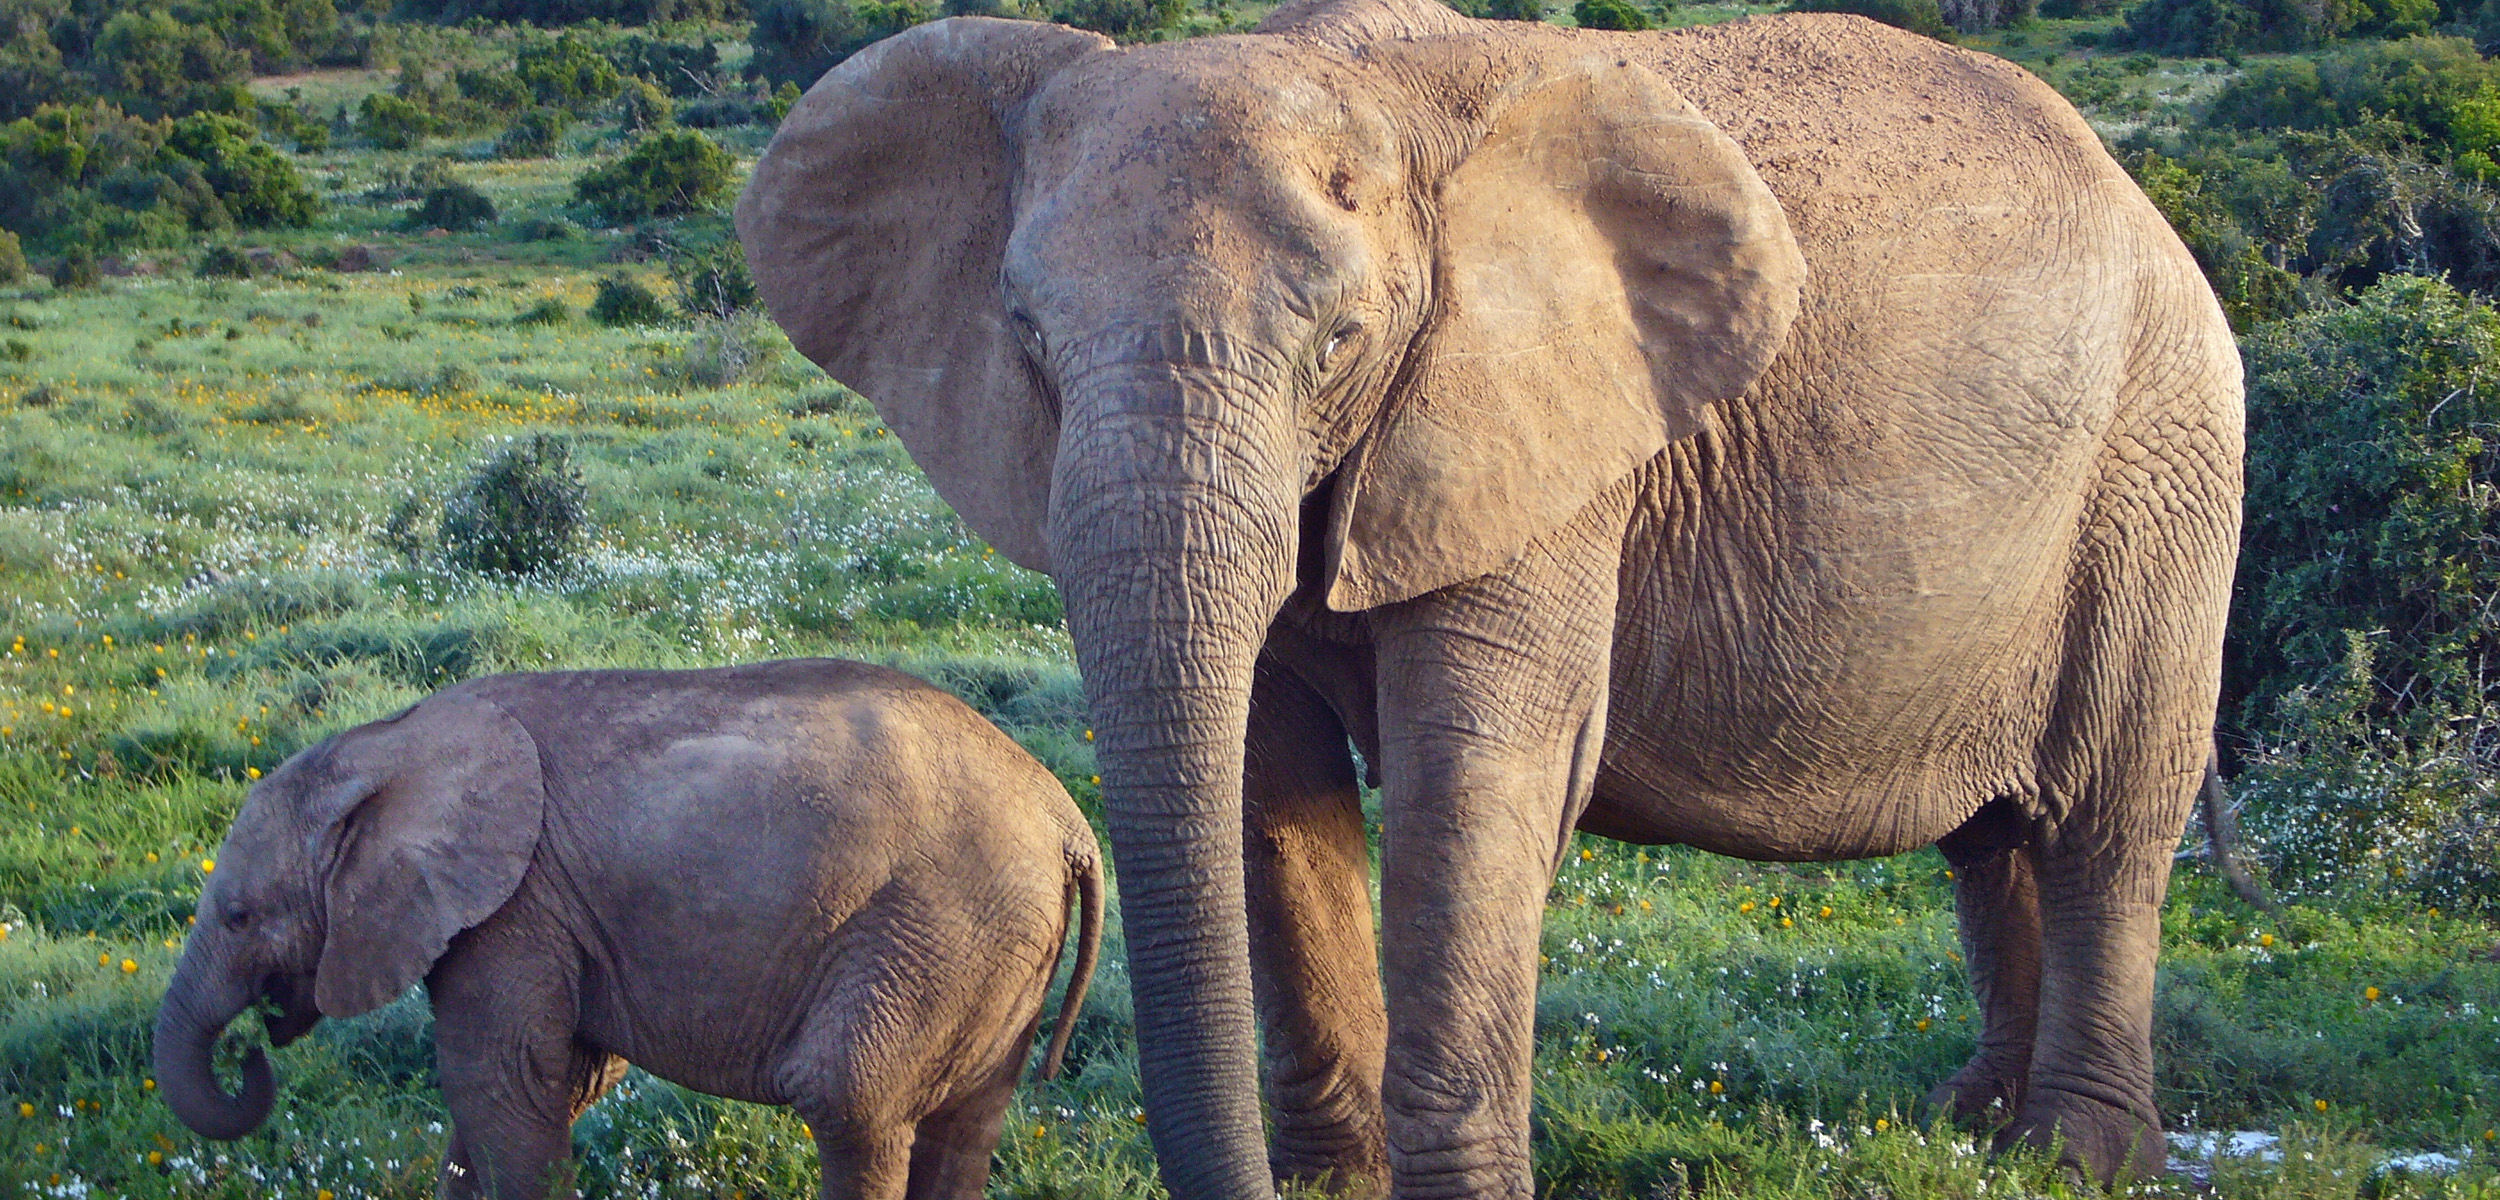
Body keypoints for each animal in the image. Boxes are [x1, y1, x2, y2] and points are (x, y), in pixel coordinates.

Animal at [153, 659, 1105, 1200]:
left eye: (239, 916)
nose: (252, 1049)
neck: (387, 744)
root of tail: (1067, 817)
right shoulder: (549, 917)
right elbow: (549, 1084)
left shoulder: (514, 910)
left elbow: (502, 1083)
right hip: (994, 944)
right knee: (964, 1125)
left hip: (934, 927)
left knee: (850, 1101)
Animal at [735, 1, 2241, 1195]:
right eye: (1027, 340)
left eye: (1340, 343)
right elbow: (1271, 783)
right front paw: (1335, 1189)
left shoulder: (1547, 437)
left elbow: (1479, 776)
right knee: (1994, 840)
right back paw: (1974, 1132)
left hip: (2164, 464)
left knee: (2109, 817)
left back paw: (2077, 1160)